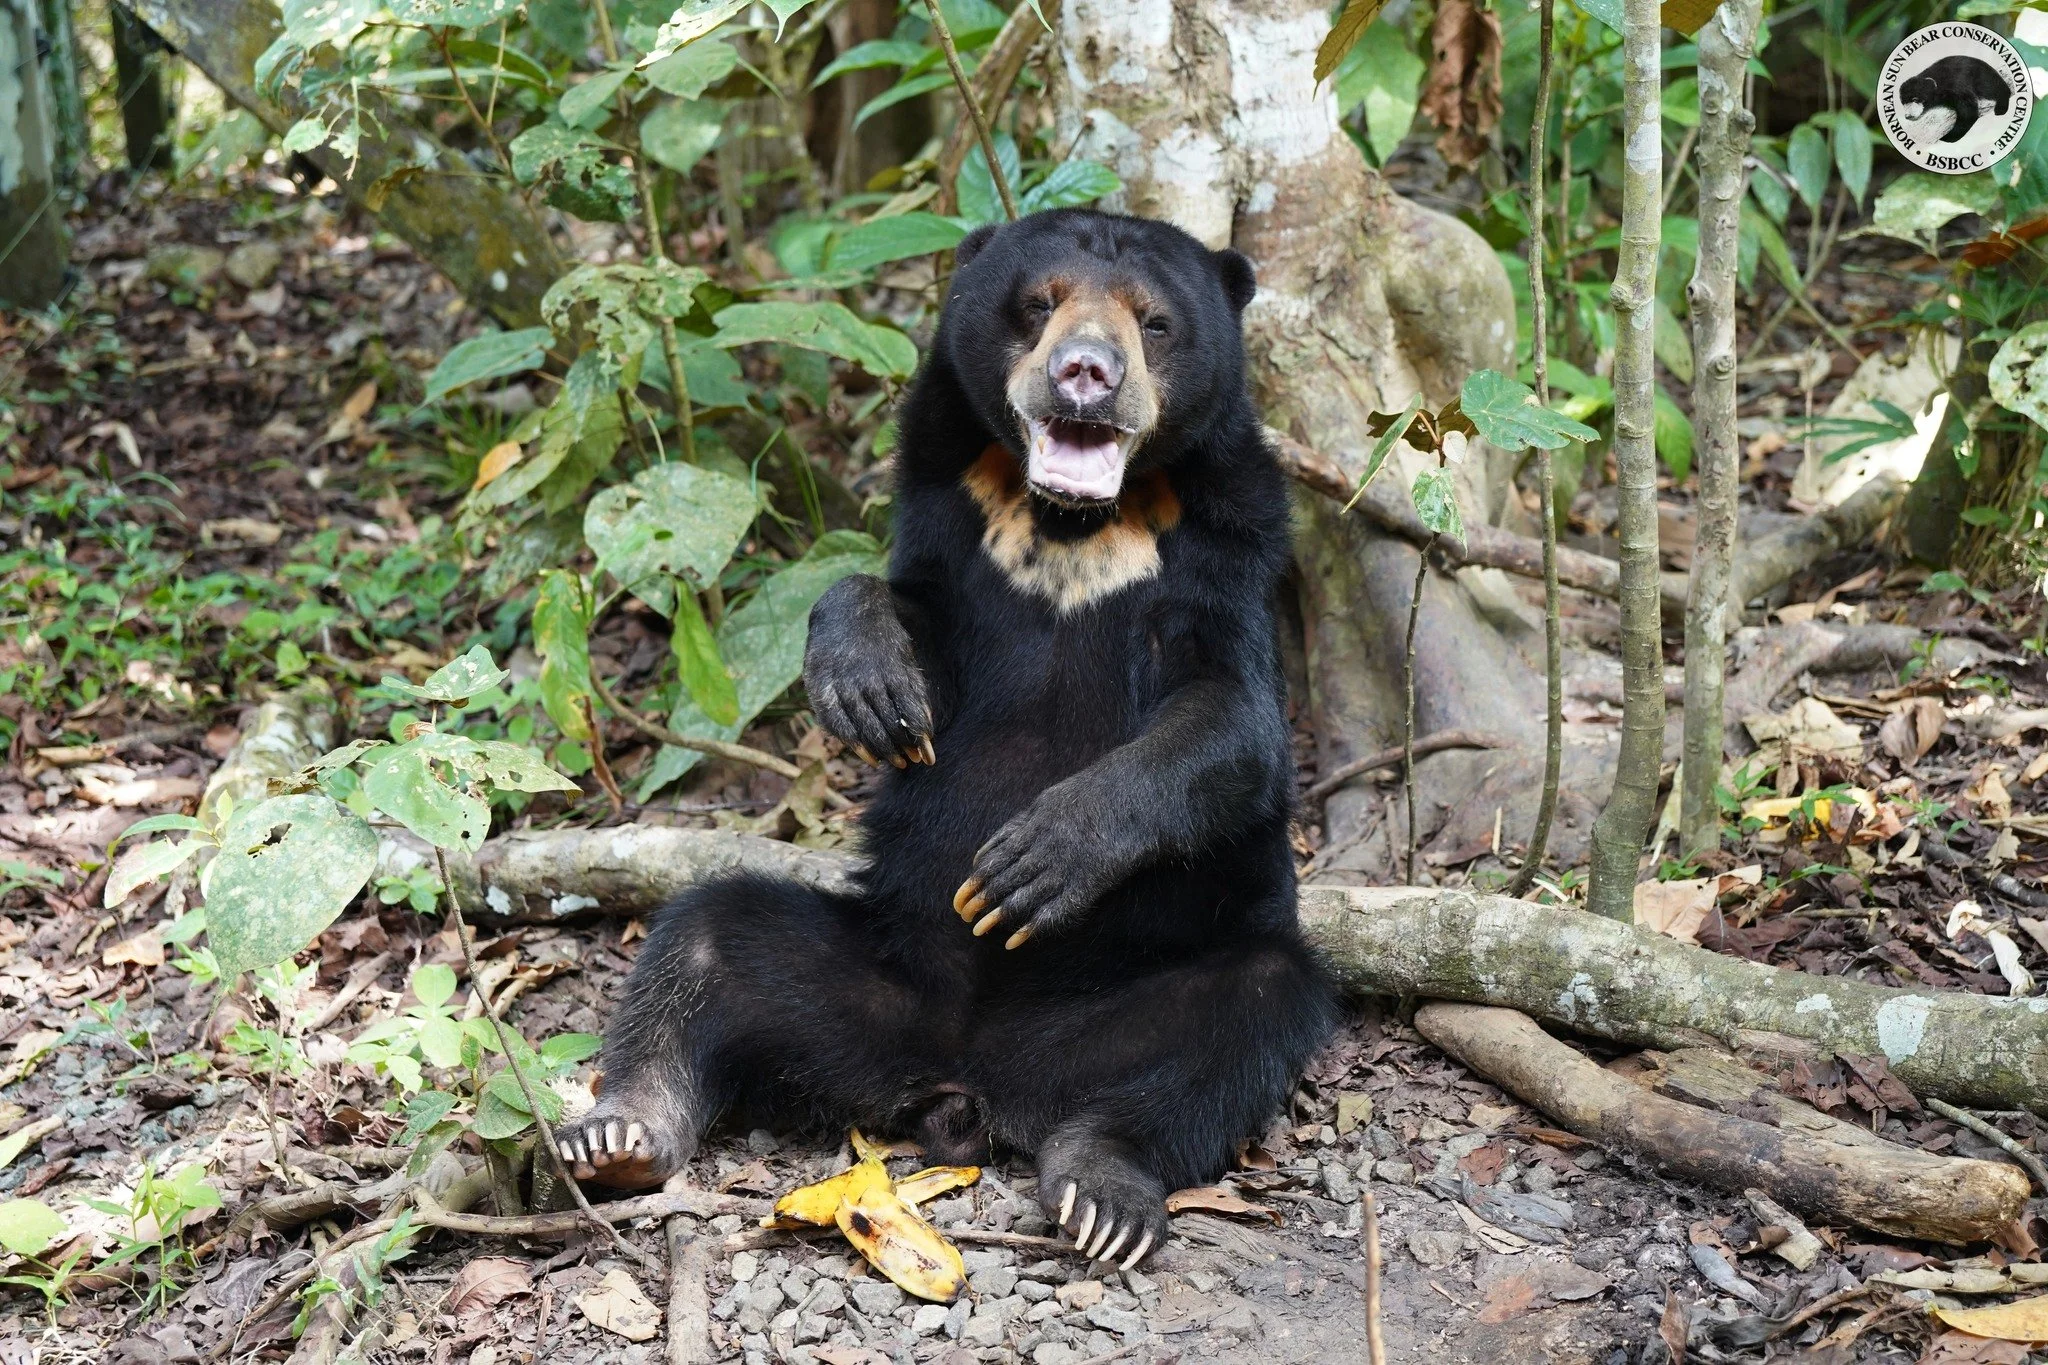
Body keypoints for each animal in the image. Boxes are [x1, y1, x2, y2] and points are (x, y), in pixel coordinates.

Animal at [555, 209, 1339, 1268]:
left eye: (1154, 322)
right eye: (1039, 305)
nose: (1086, 373)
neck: (1071, 524)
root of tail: (963, 1082)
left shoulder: (1230, 554)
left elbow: (1235, 723)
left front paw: (1032, 861)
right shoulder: (950, 503)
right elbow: (906, 614)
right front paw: (868, 688)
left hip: (1140, 1004)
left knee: (1243, 1017)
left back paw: (1105, 1188)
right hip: (873, 982)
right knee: (706, 937)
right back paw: (618, 1132)